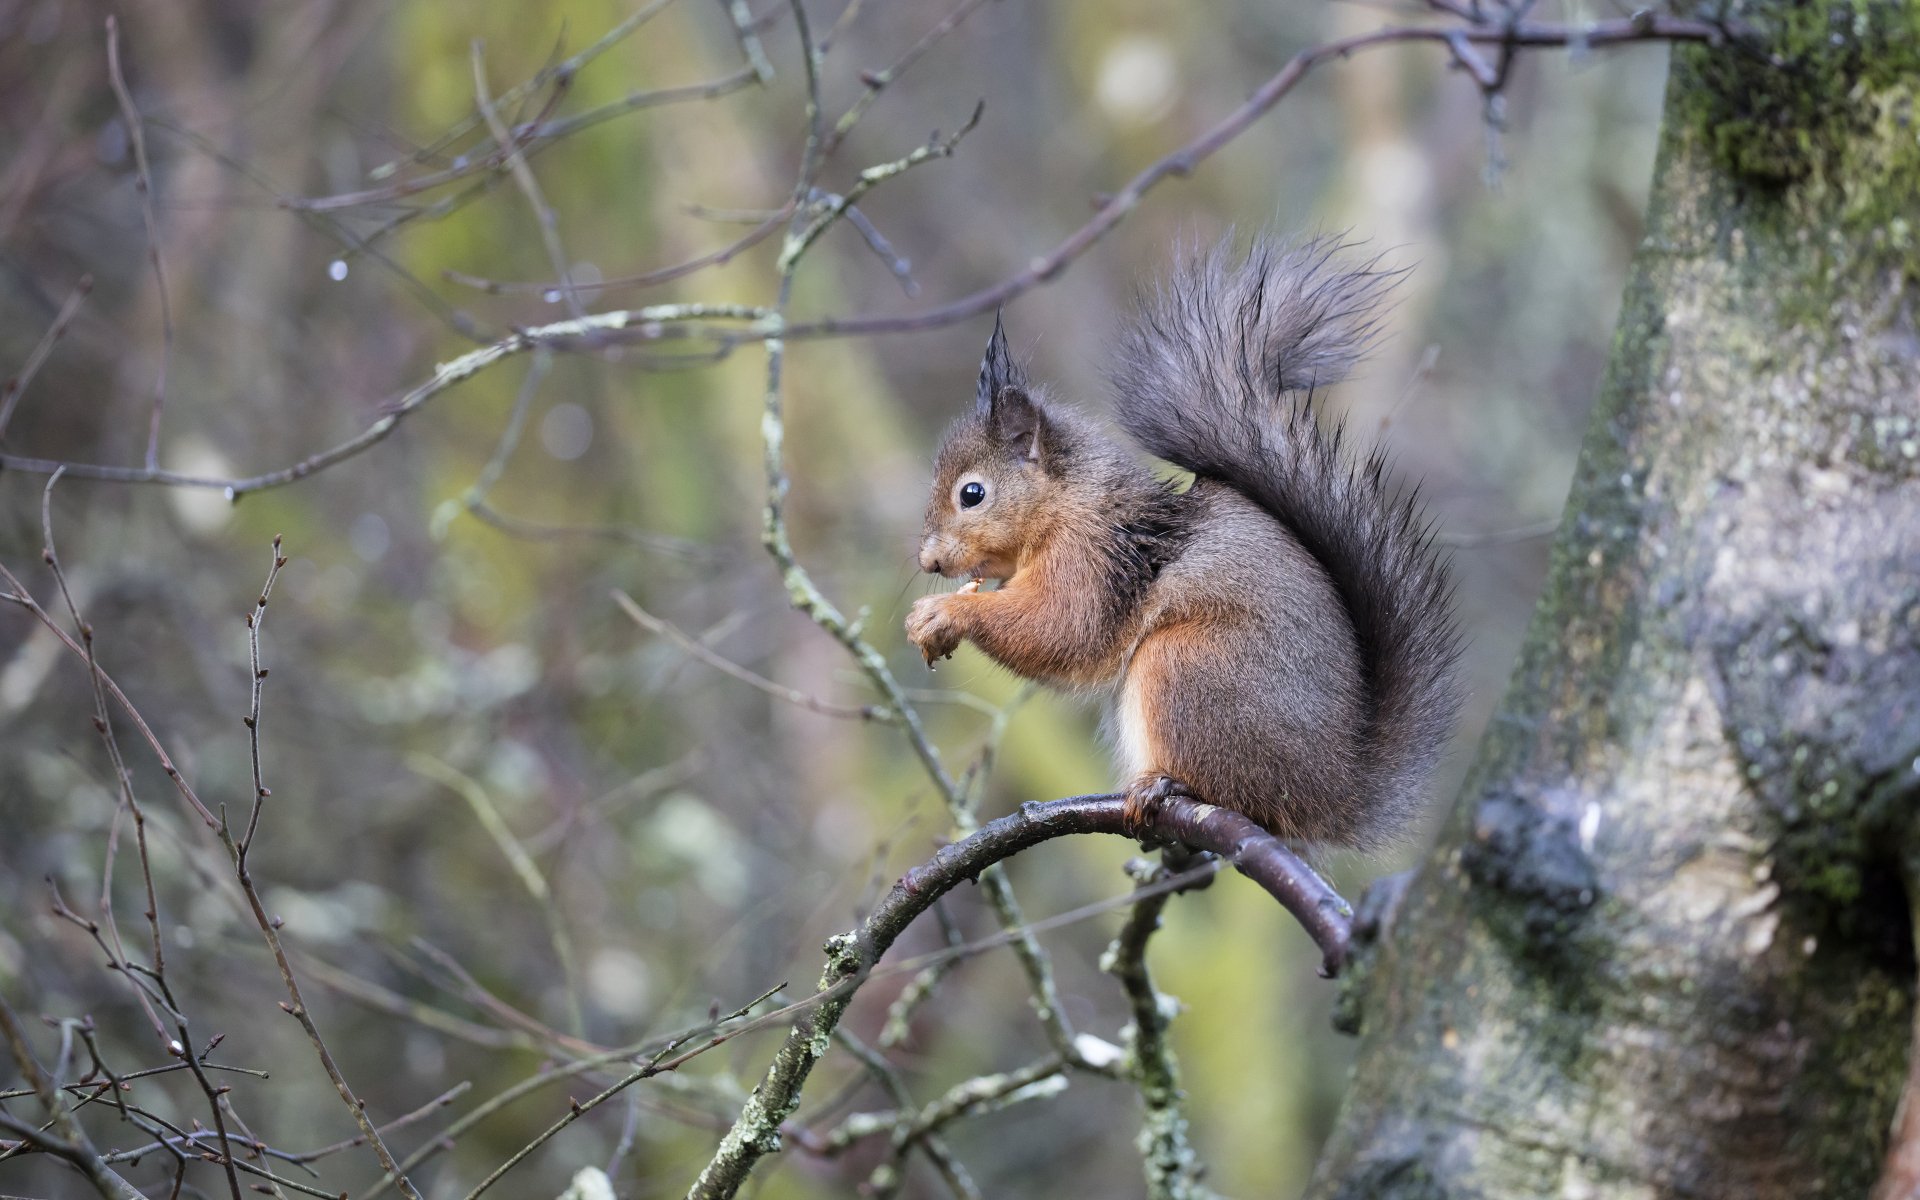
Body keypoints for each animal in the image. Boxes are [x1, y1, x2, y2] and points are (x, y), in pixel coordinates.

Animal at [904, 238, 1462, 849]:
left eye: (972, 494)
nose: (928, 560)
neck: (1065, 503)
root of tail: (1331, 791)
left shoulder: (1092, 557)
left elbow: (1062, 629)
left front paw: (945, 613)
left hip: (1188, 667)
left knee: (1235, 789)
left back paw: (1165, 786)